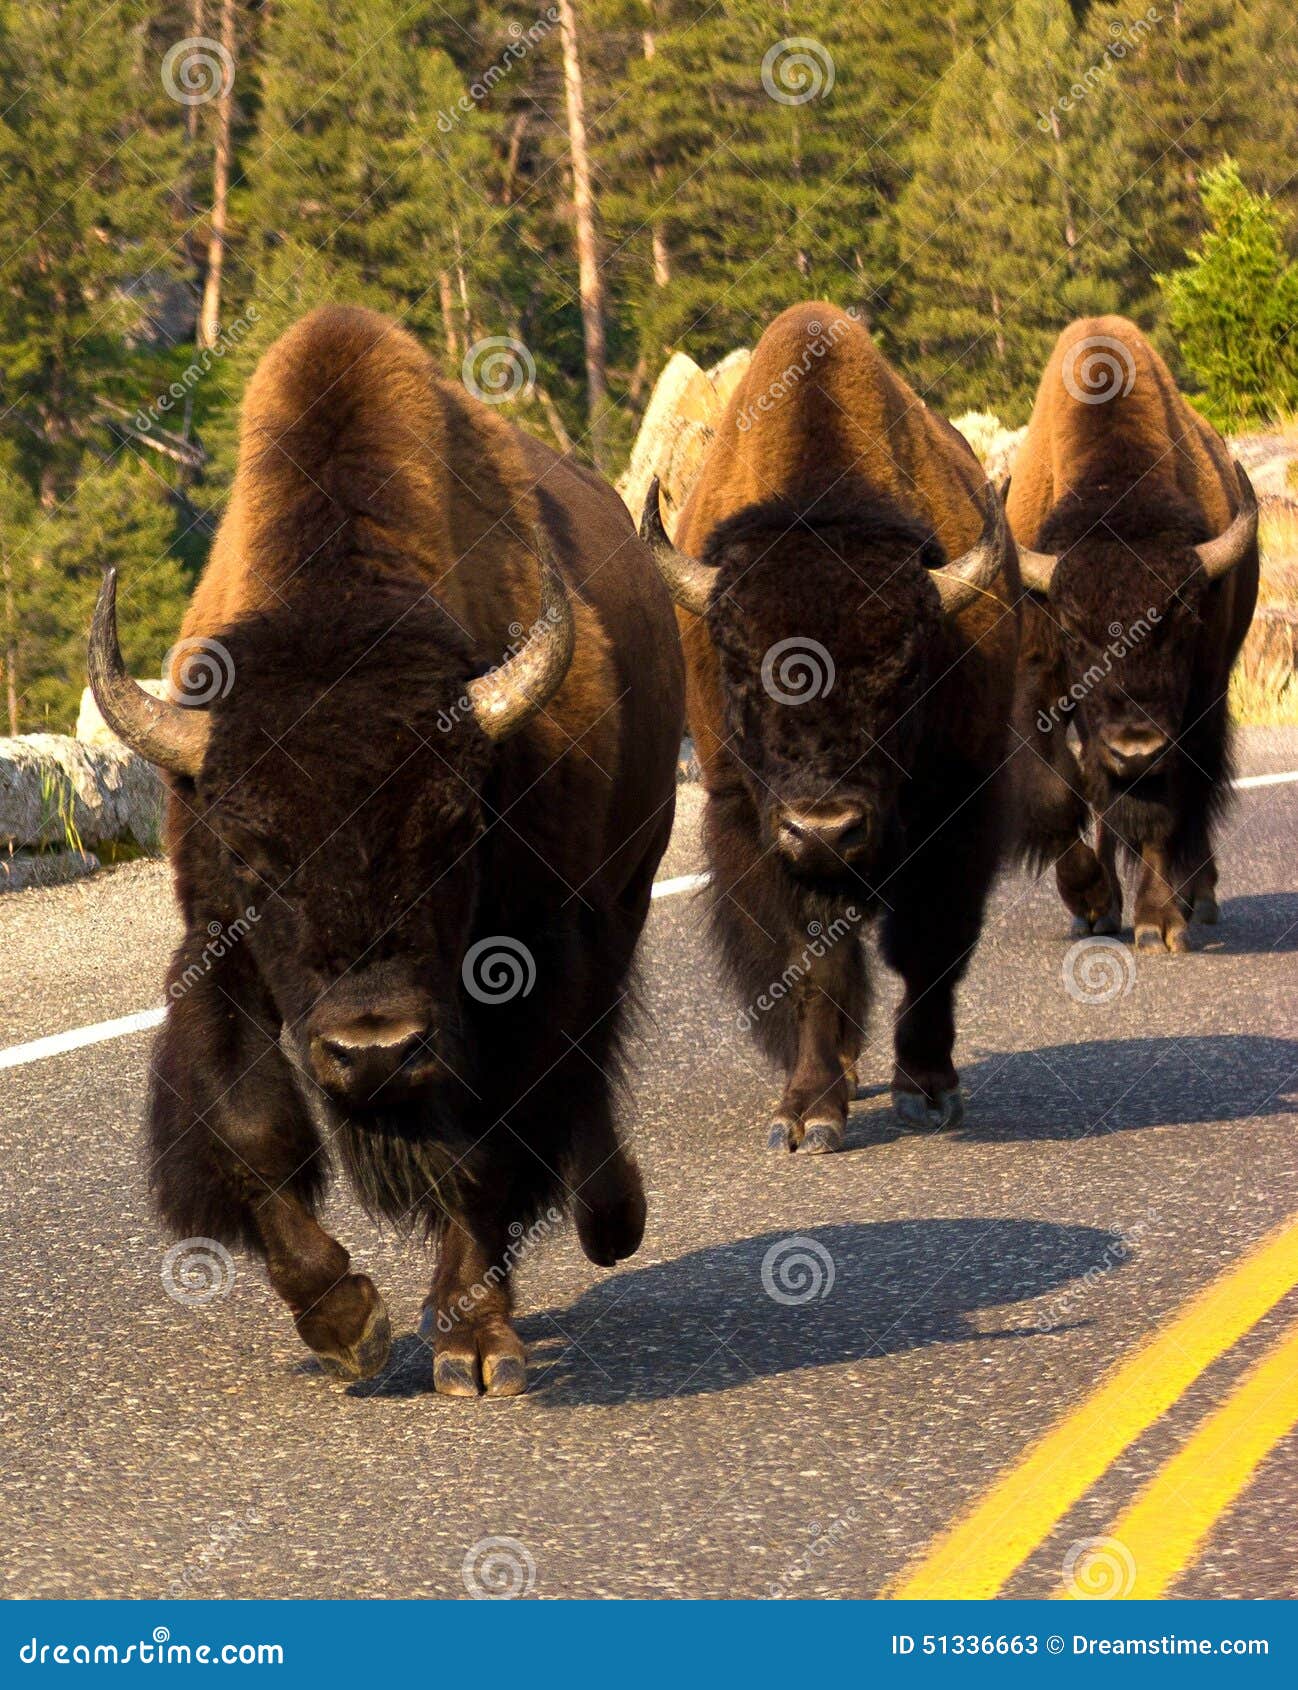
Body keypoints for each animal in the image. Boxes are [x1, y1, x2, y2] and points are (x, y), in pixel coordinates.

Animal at [90, 305, 684, 1396]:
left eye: (453, 830)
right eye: (255, 854)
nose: (374, 1050)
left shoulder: (530, 955)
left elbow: (493, 1145)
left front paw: (474, 1346)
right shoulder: (217, 946)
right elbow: (251, 1125)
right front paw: (342, 1321)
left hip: (626, 893)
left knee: (585, 1076)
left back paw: (610, 1220)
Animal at [642, 302, 1019, 1149]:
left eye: (906, 669)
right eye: (736, 665)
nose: (824, 828)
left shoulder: (965, 804)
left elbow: (931, 946)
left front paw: (927, 1088)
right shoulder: (753, 823)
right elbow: (813, 960)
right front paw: (808, 1114)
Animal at [1007, 316, 1258, 951]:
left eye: (1185, 620)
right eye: (1072, 631)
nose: (1136, 748)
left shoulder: (1193, 701)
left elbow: (1166, 806)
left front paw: (1158, 923)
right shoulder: (1038, 683)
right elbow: (1058, 791)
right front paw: (1093, 903)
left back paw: (1198, 897)